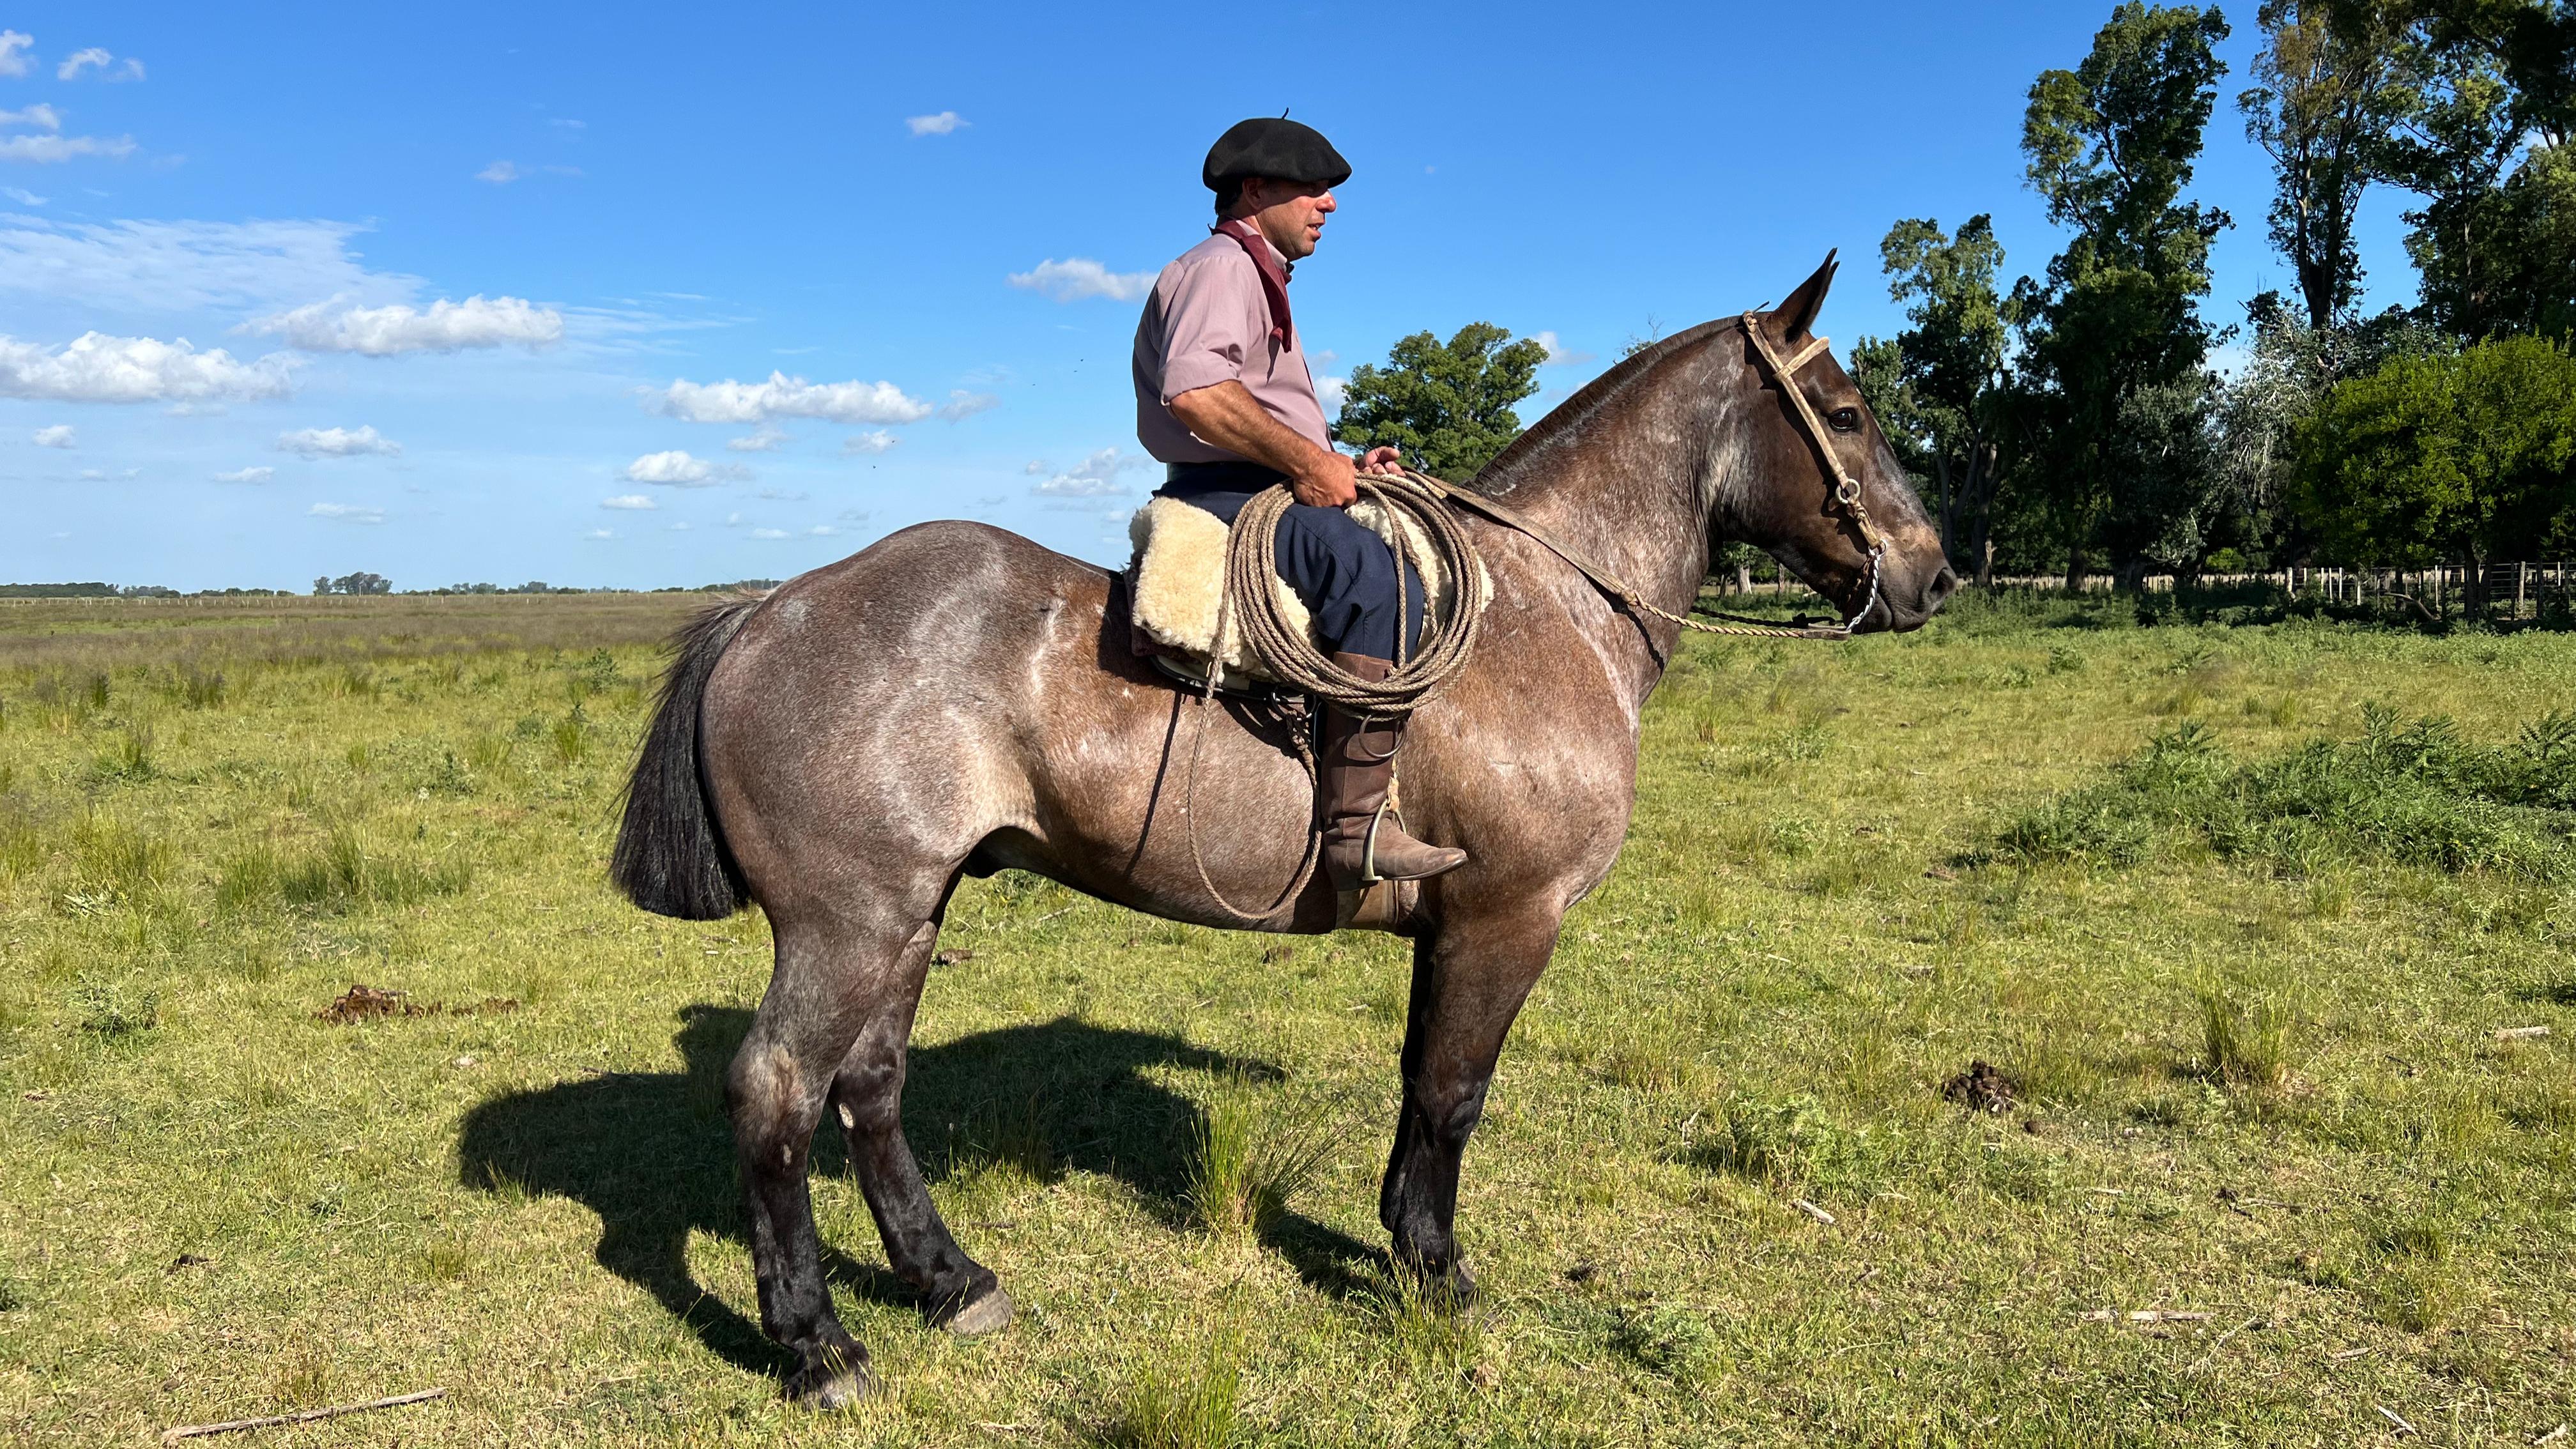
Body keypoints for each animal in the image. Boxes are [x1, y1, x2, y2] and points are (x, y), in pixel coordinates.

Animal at [608, 253, 1956, 1405]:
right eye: (1842, 411)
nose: (1933, 576)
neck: (1546, 606)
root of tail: (768, 609)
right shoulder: (1505, 917)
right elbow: (1453, 1092)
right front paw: (1437, 1274)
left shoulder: (1451, 930)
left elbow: (1420, 1082)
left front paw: (1406, 1245)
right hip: (846, 923)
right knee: (779, 1091)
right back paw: (817, 1344)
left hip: (911, 912)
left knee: (870, 1085)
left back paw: (952, 1281)